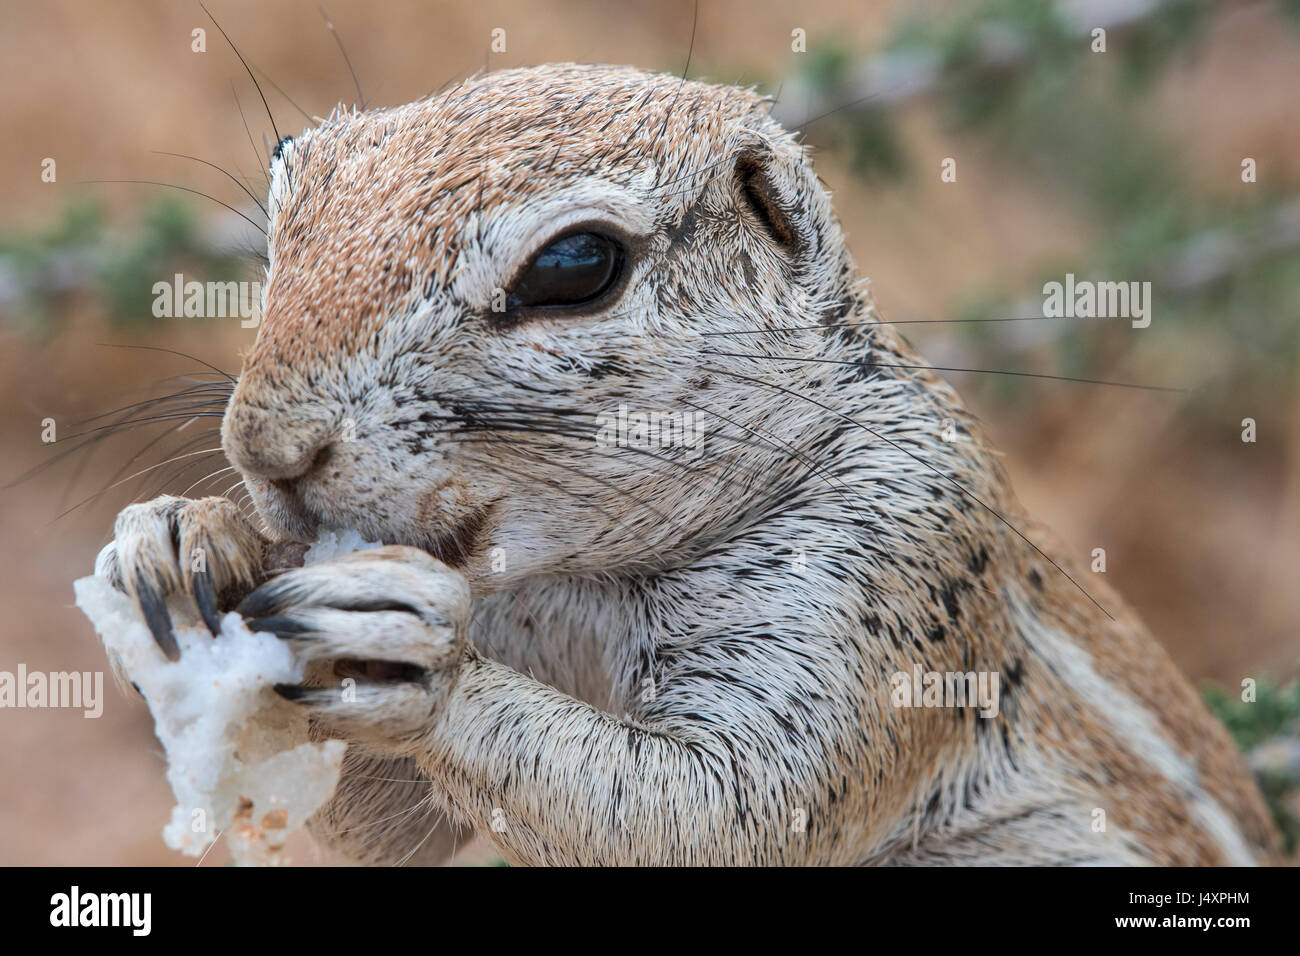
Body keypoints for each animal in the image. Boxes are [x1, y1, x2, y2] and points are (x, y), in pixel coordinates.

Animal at [93, 63, 1278, 865]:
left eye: (577, 265)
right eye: (289, 186)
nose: (265, 448)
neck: (568, 582)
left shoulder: (885, 575)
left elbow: (718, 807)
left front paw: (412, 655)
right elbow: (379, 827)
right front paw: (181, 535)